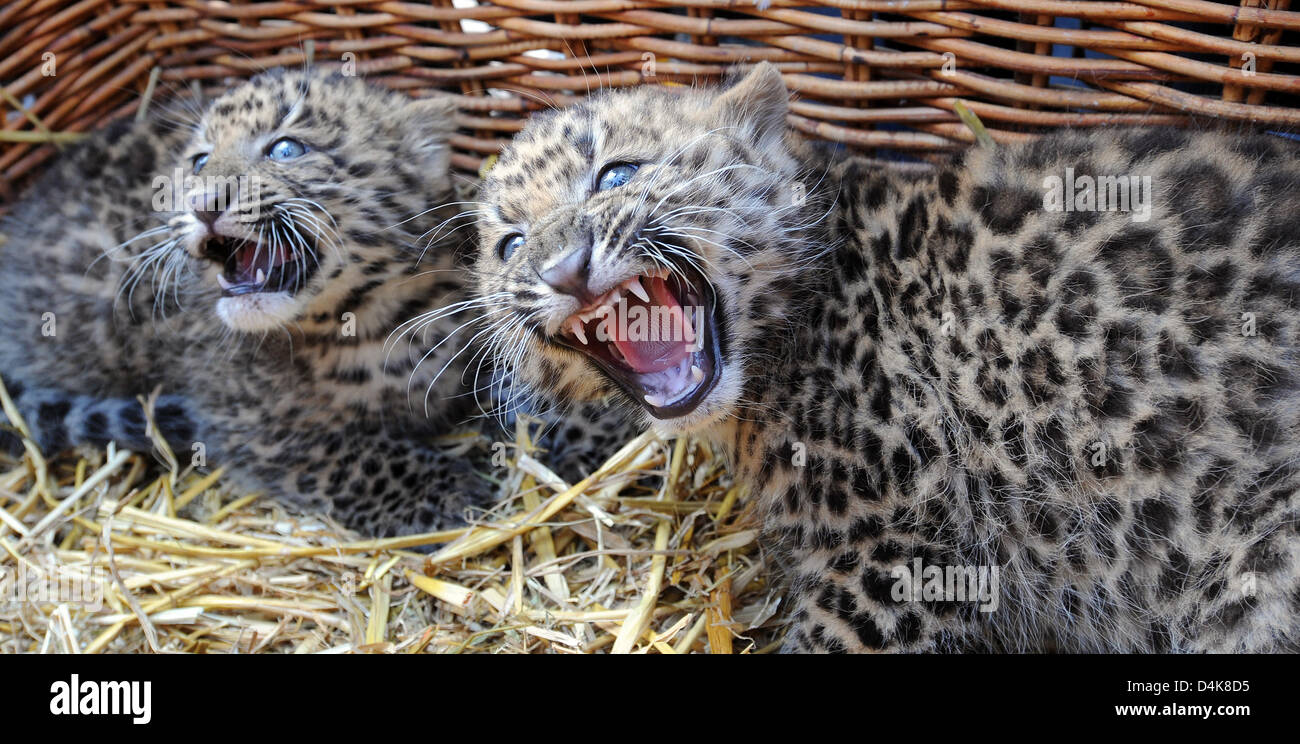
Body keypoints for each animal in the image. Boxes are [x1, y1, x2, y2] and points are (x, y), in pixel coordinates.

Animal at [0, 67, 619, 537]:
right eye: (198, 162)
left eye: (286, 148)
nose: (202, 203)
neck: (362, 320)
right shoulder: (250, 426)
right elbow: (348, 457)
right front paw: (443, 490)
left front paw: (584, 430)